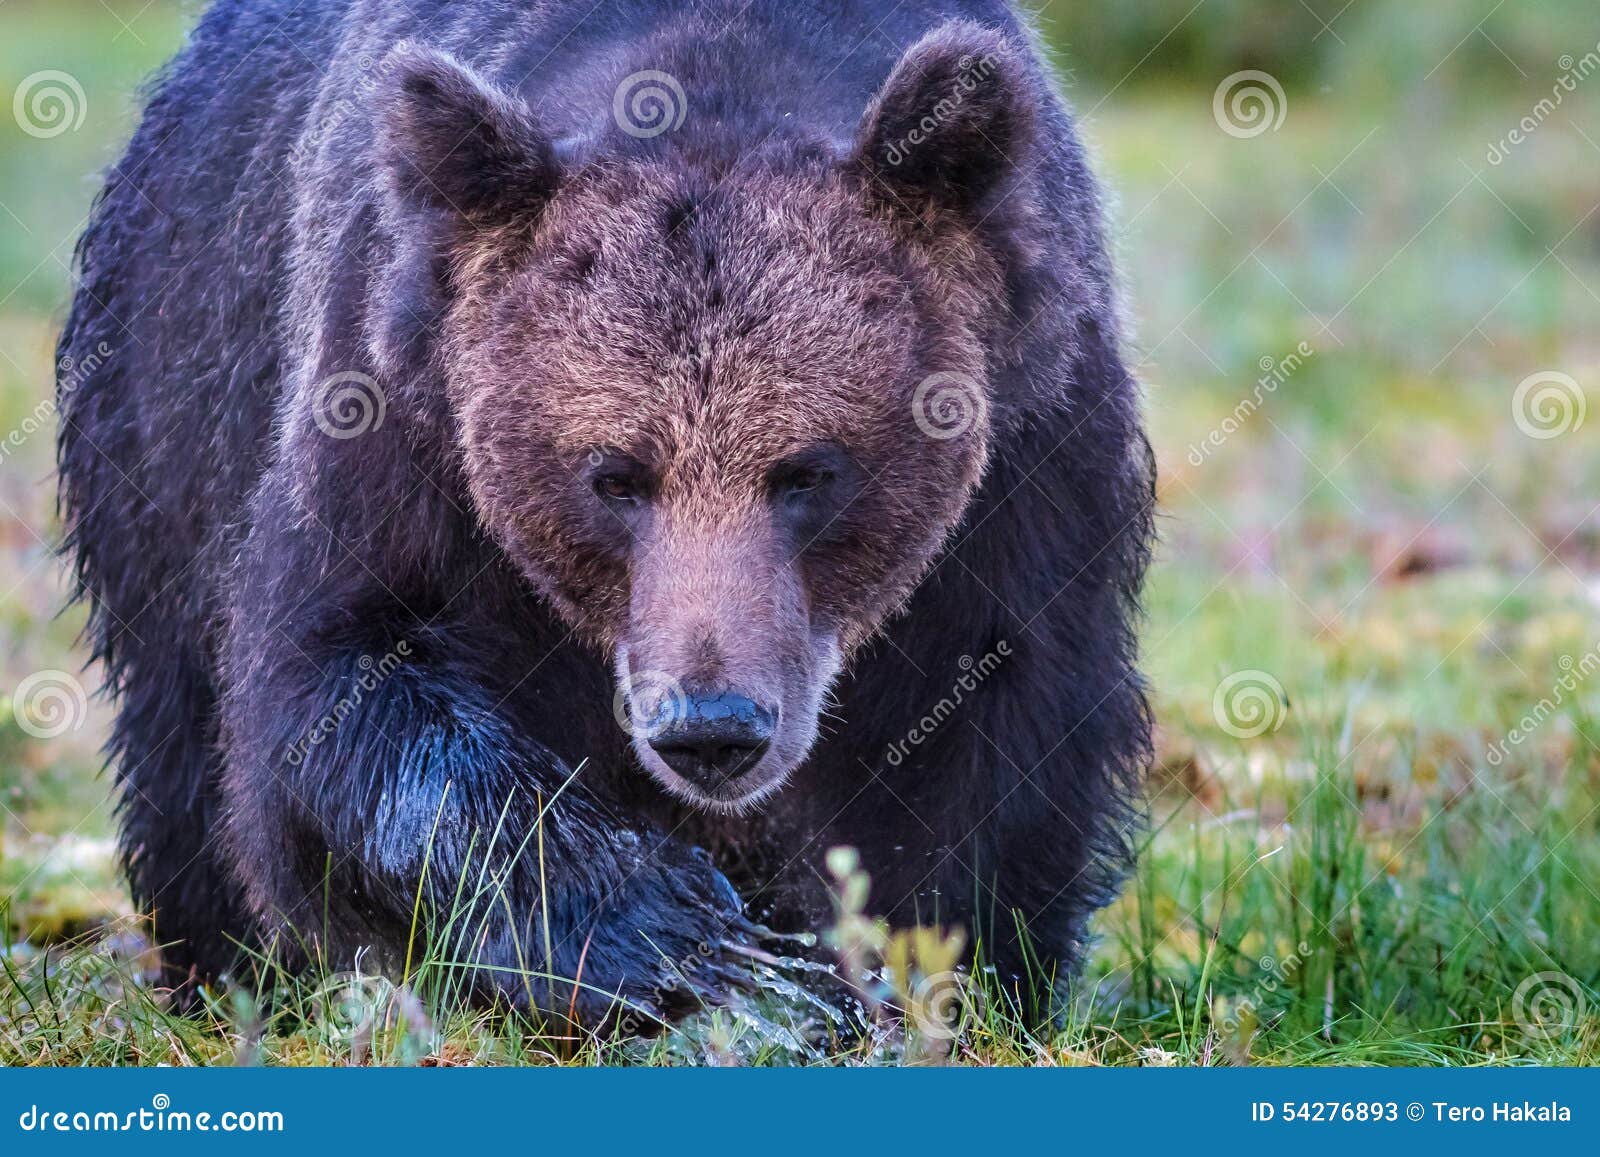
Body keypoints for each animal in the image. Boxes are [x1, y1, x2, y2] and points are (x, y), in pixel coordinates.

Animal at [56, 0, 1152, 1029]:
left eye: (808, 472)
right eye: (615, 476)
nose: (712, 727)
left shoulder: (1028, 452)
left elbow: (993, 726)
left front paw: (920, 978)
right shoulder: (403, 406)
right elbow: (339, 682)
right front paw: (687, 940)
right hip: (172, 387)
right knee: (178, 718)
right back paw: (229, 972)